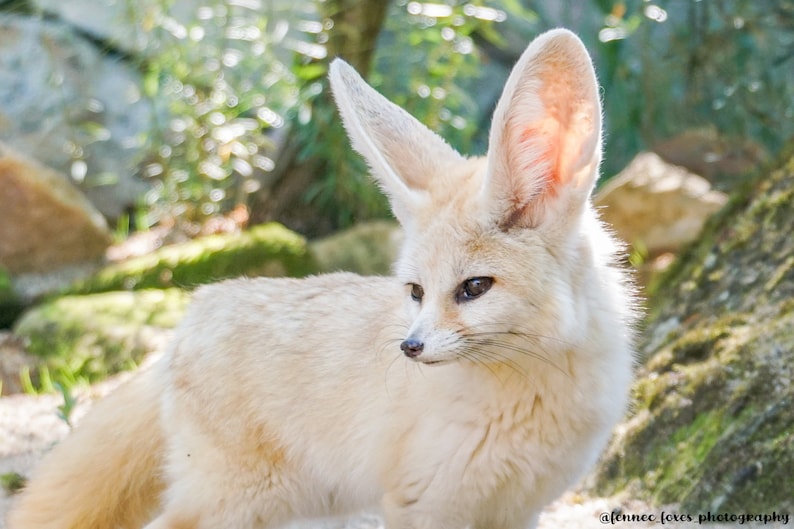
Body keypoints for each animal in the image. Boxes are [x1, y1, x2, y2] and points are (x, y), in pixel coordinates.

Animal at [8, 28, 636, 529]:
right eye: (416, 291)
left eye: (474, 288)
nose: (409, 347)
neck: (535, 392)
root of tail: (189, 318)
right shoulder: (424, 505)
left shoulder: (514, 510)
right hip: (239, 502)